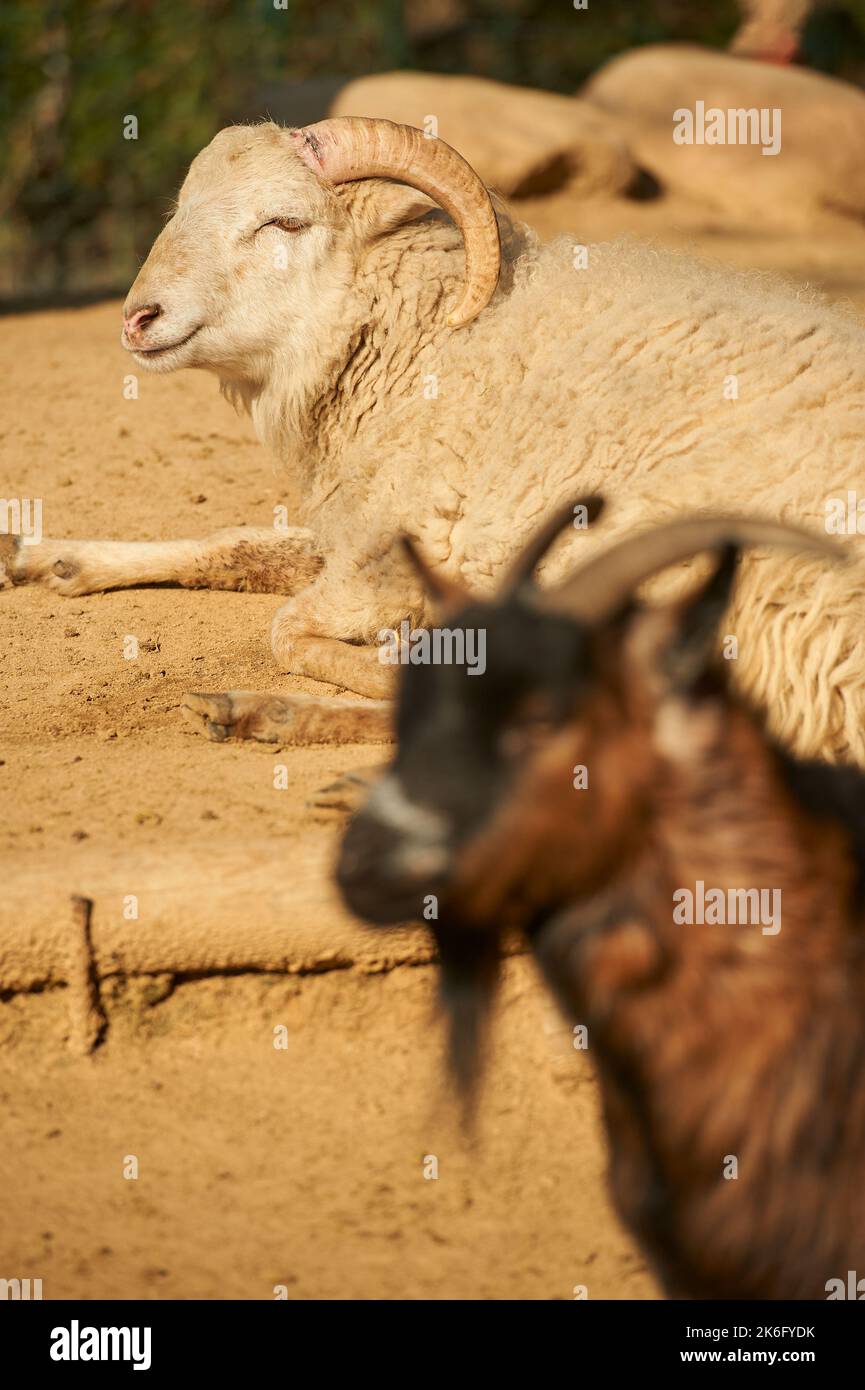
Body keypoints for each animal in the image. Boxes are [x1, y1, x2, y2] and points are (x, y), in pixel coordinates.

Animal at [4, 115, 865, 763]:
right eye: (182, 208)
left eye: (284, 220)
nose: (138, 318)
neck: (434, 342)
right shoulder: (363, 527)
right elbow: (238, 545)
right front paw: (55, 557)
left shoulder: (393, 563)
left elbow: (288, 629)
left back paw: (263, 708)